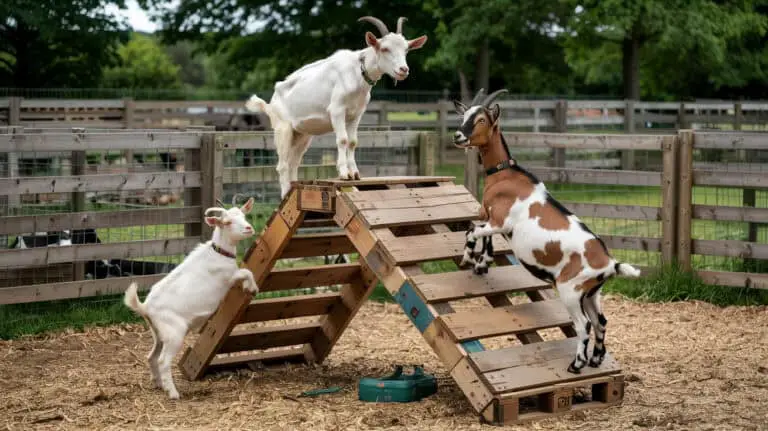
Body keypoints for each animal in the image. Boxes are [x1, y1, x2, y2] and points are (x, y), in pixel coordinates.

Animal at [123, 196, 259, 399]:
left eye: (243, 215)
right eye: (227, 222)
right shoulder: (228, 277)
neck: (219, 252)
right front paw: (252, 288)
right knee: (163, 360)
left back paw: (158, 384)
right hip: (175, 332)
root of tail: (145, 307)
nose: (249, 228)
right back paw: (172, 392)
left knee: (152, 356)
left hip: (159, 333)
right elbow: (246, 272)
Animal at [245, 16, 428, 198]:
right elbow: (343, 139)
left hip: (302, 135)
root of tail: (271, 102)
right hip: (283, 129)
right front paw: (344, 174)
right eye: (384, 48)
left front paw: (355, 173)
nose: (403, 70)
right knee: (282, 165)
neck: (357, 72)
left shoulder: (356, 115)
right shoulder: (337, 111)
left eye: (406, 50)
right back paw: (284, 196)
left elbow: (353, 142)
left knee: (293, 163)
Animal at [452, 89, 641, 374]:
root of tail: (610, 264)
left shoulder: (500, 222)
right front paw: (482, 263)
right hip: (591, 294)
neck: (505, 175)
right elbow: (482, 233)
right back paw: (596, 360)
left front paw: (468, 258)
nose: (458, 136)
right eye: (464, 116)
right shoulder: (491, 218)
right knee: (601, 322)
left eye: (482, 119)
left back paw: (576, 364)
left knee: (583, 325)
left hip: (570, 290)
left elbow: (473, 231)